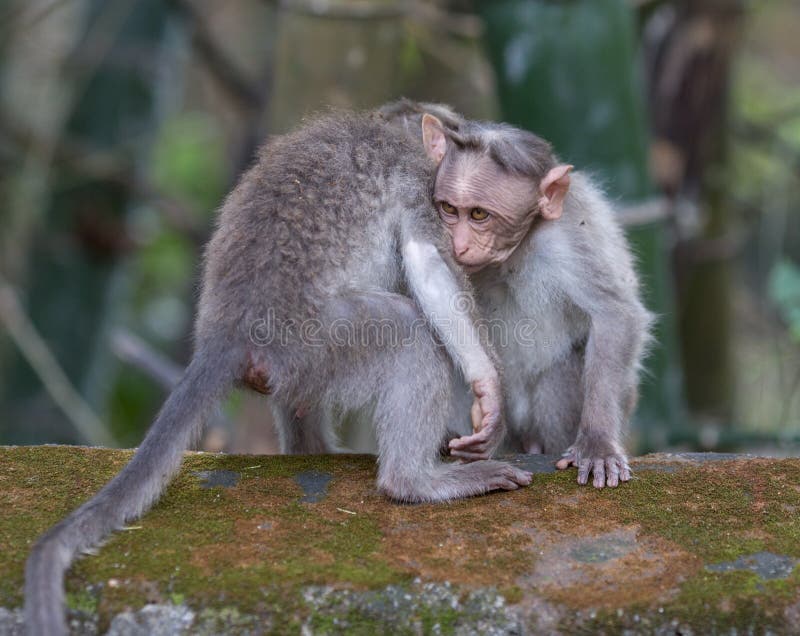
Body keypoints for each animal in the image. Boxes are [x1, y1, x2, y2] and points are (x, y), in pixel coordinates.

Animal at [24, 109, 534, 636]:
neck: (394, 127)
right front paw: (488, 392)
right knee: (408, 333)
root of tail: (225, 333)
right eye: (455, 207)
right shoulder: (415, 183)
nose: (469, 236)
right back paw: (414, 482)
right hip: (315, 339)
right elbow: (428, 265)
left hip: (300, 360)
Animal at [380, 100, 653, 489]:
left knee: (562, 369)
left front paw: (598, 443)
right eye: (448, 208)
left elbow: (614, 314)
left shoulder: (563, 239)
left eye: (479, 214)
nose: (459, 245)